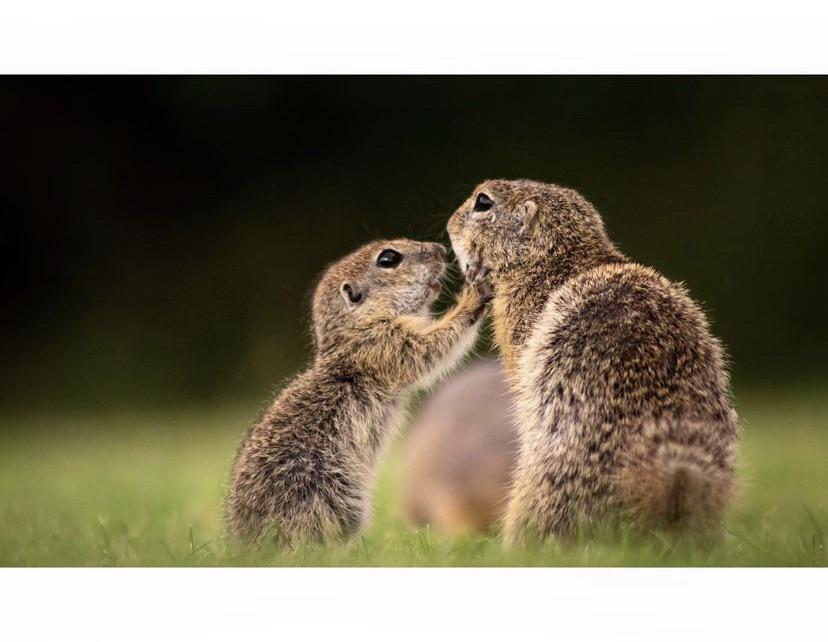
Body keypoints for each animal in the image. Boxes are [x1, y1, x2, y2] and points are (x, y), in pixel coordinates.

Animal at [226, 238, 491, 545]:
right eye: (388, 259)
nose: (439, 248)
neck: (354, 330)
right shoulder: (384, 345)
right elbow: (430, 347)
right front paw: (474, 294)